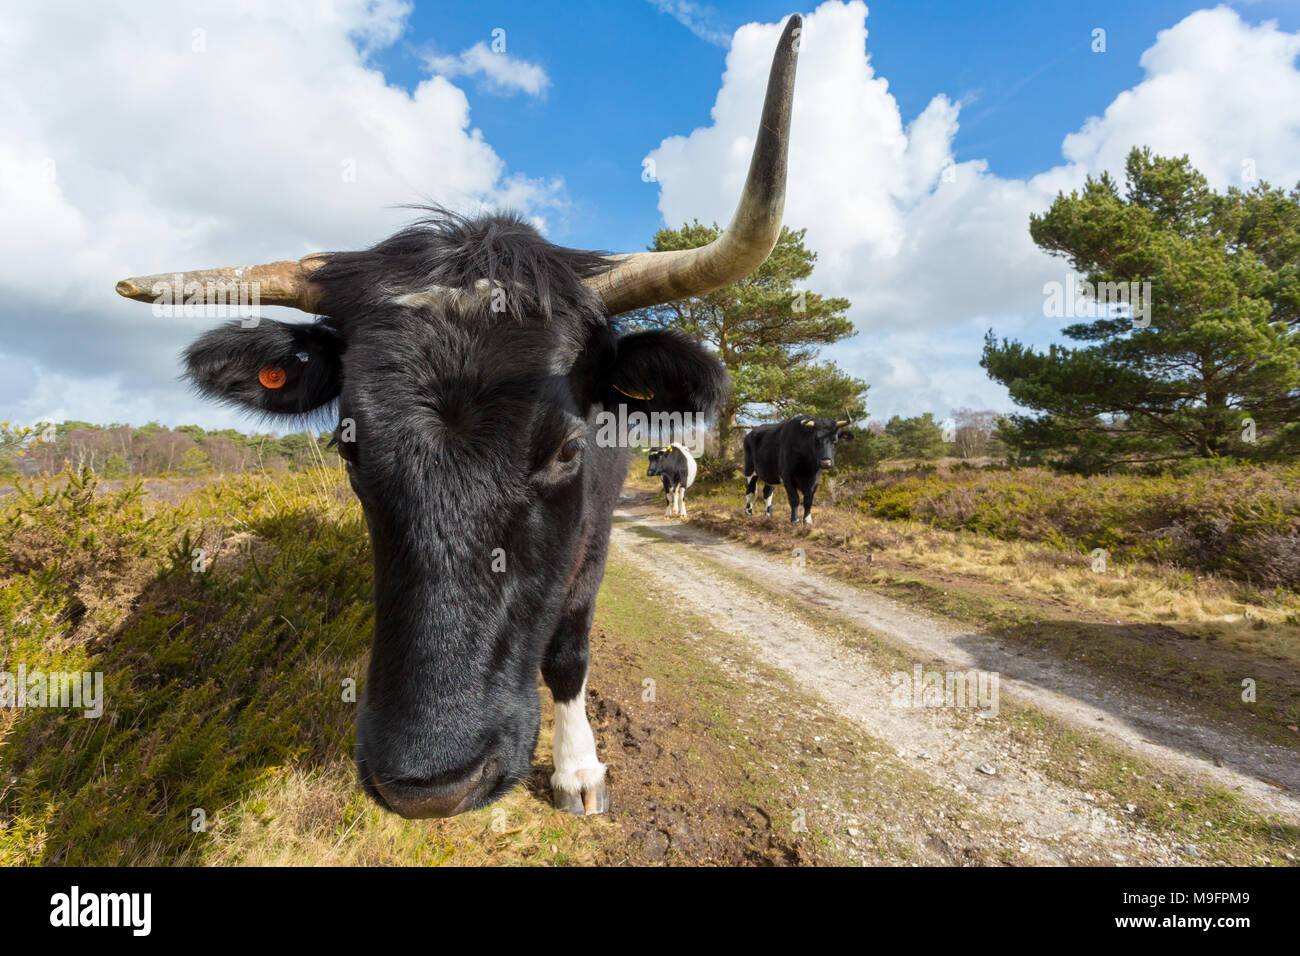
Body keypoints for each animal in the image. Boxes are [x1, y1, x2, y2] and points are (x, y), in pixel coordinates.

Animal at [113, 17, 802, 819]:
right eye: (347, 449)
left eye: (568, 449)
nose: (431, 784)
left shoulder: (595, 536)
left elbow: (569, 651)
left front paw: (578, 768)